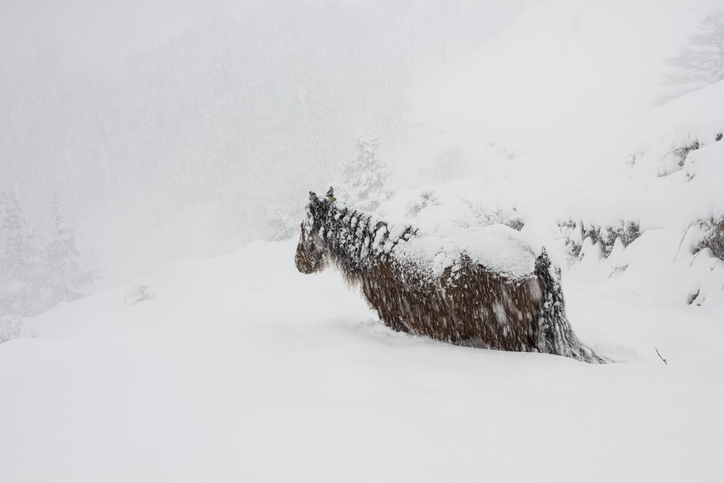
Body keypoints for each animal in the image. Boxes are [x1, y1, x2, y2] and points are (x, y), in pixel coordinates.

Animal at [295, 190, 606, 363]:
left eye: (302, 226)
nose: (298, 262)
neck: (378, 247)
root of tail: (535, 256)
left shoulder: (394, 318)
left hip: (510, 338)